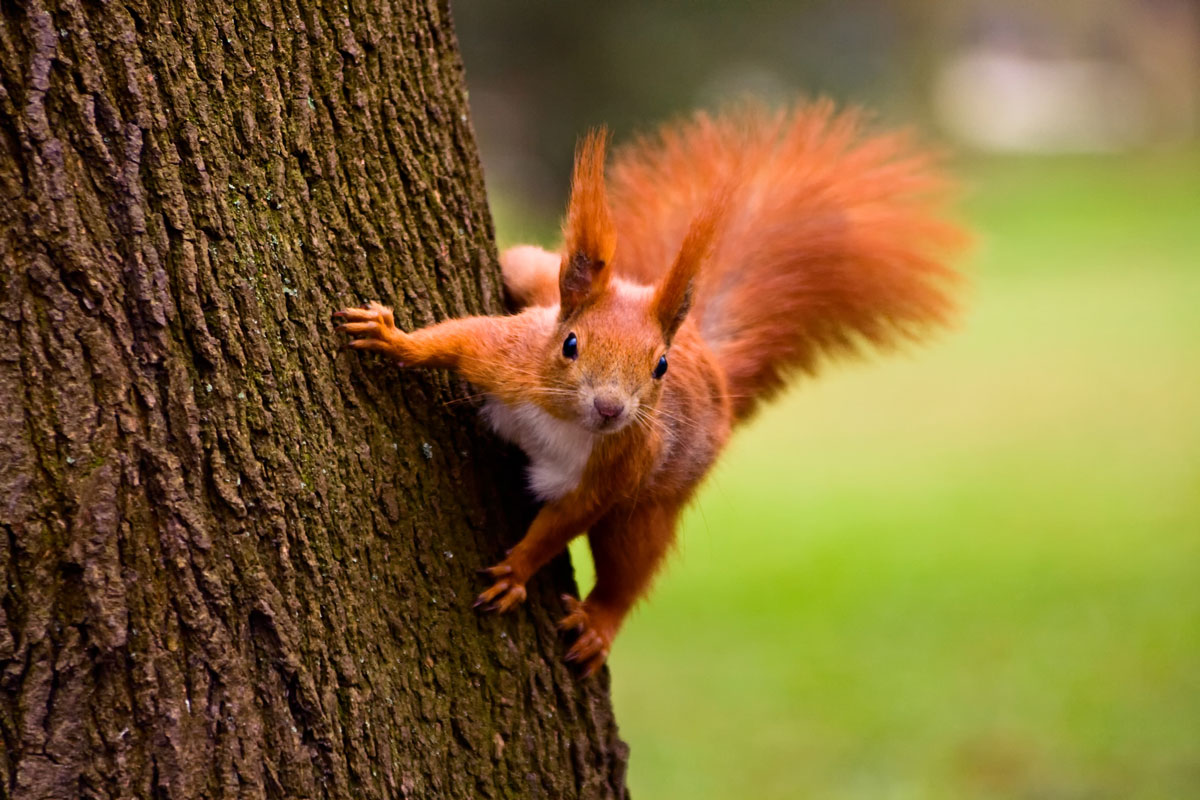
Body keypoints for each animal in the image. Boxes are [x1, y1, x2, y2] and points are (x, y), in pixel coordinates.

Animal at [335, 102, 965, 677]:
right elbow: (456, 339)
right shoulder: (508, 359)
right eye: (570, 345)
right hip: (536, 278)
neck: (565, 421)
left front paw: (517, 571)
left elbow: (563, 521)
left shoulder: (618, 469)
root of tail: (711, 363)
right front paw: (392, 338)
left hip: (652, 505)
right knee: (525, 266)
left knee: (629, 566)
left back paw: (599, 623)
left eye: (659, 366)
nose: (611, 408)